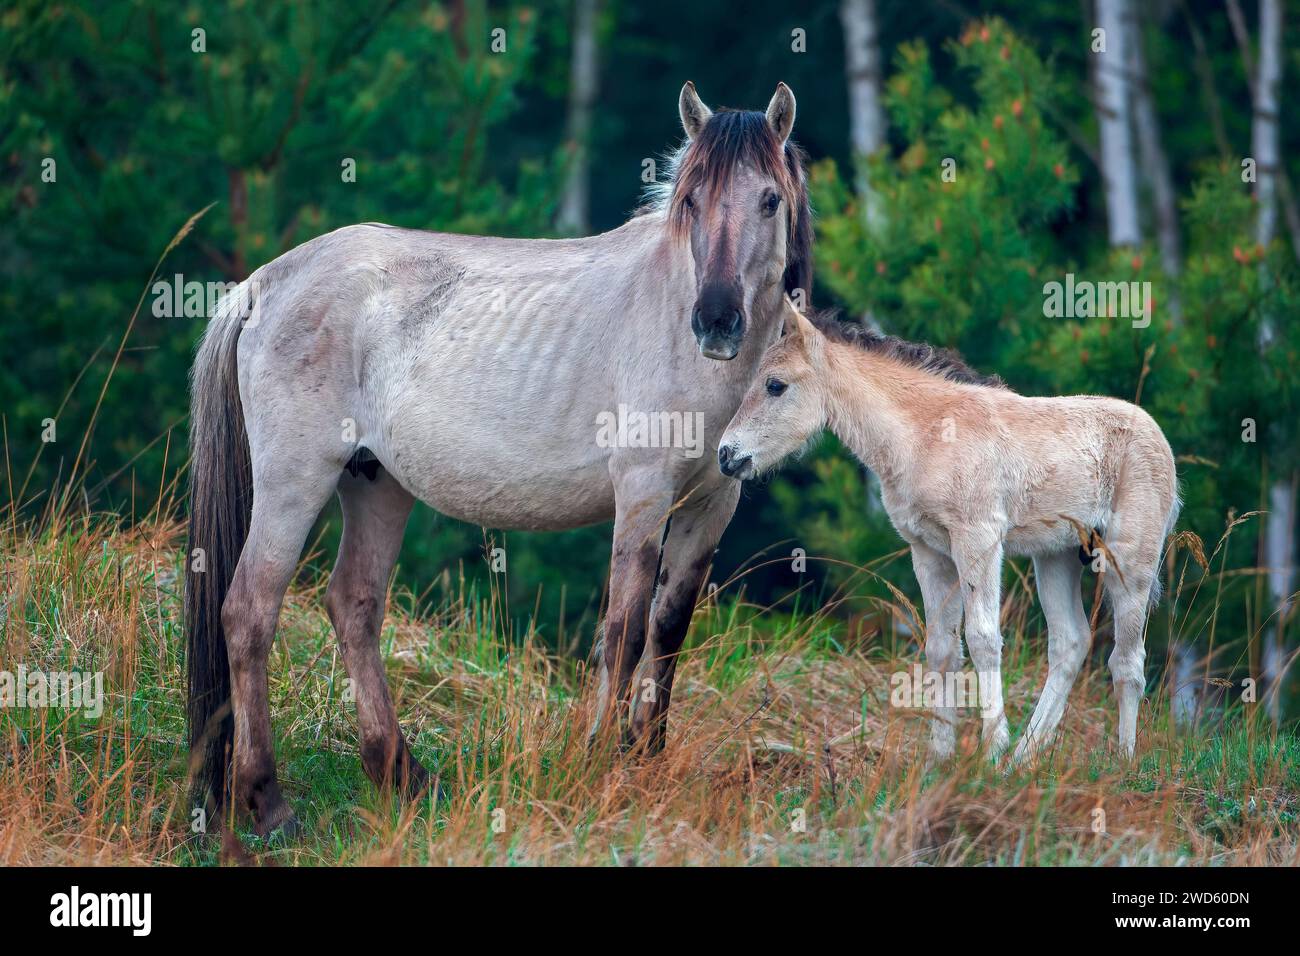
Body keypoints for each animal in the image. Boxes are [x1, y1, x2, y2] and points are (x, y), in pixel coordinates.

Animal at [185, 82, 813, 836]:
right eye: (690, 199)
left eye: (769, 200)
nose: (716, 321)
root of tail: (268, 282)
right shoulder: (643, 493)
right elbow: (625, 630)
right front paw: (601, 766)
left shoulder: (710, 505)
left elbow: (668, 632)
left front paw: (648, 761)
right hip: (293, 482)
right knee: (250, 610)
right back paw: (269, 802)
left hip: (377, 484)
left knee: (354, 605)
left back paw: (403, 776)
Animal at [717, 300, 1179, 764]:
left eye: (775, 385)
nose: (726, 455)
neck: (928, 433)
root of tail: (1157, 435)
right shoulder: (927, 550)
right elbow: (941, 648)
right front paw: (940, 758)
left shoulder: (978, 539)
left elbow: (982, 639)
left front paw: (991, 752)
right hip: (1056, 556)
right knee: (1070, 643)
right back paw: (1023, 759)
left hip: (1129, 560)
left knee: (1127, 662)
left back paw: (1121, 761)